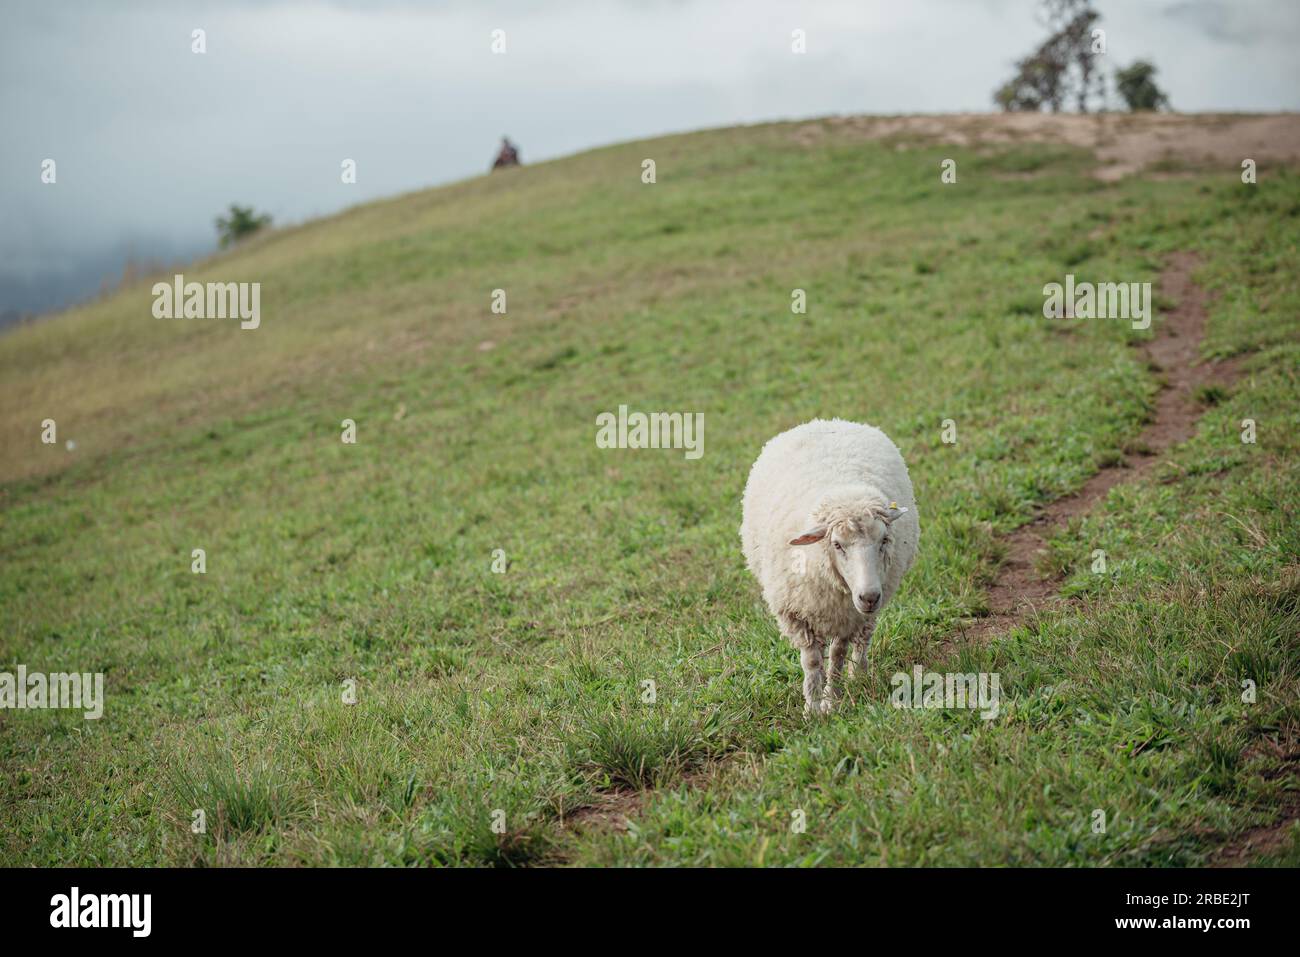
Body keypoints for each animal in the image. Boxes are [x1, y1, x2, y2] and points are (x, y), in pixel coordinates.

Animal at [741, 418, 920, 715]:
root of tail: (828, 422)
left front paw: (831, 699)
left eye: (884, 540)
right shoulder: (796, 613)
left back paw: (859, 674)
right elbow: (812, 661)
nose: (869, 596)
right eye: (837, 544)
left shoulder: (848, 615)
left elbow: (837, 655)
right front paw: (812, 707)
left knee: (864, 639)